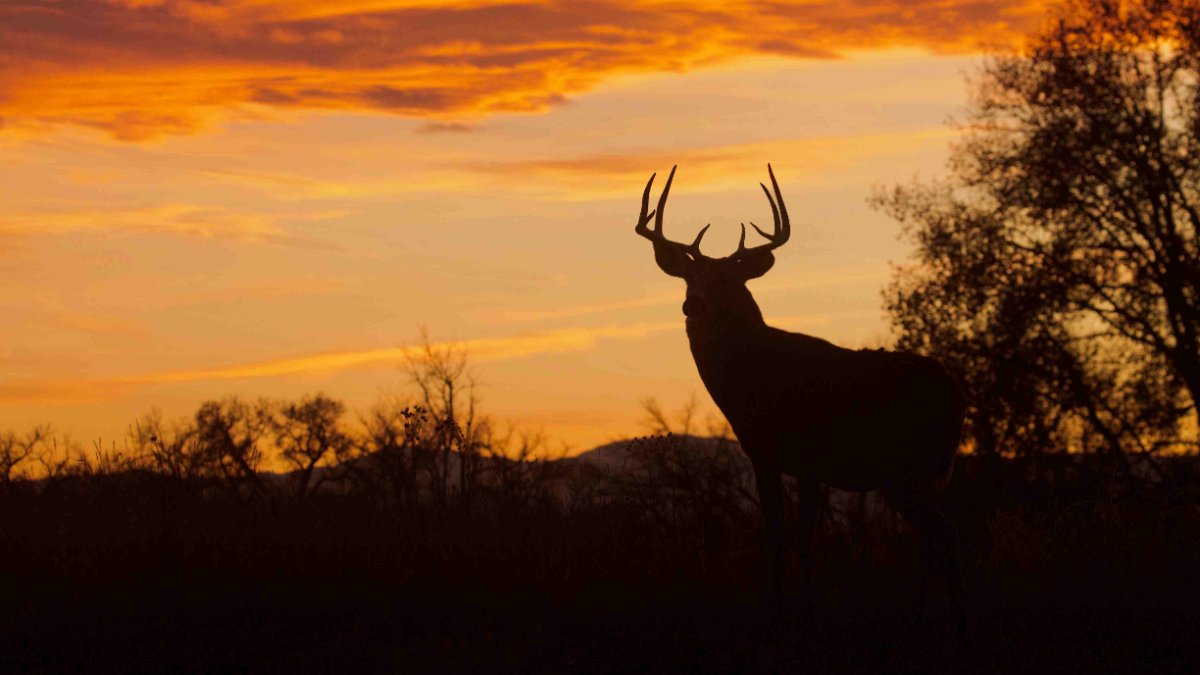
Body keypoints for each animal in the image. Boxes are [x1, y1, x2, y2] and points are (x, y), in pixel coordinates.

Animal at [632, 164, 966, 635]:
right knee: (934, 536)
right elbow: (793, 535)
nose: (692, 305)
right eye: (688, 277)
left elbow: (790, 536)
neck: (752, 380)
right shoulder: (791, 461)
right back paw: (925, 621)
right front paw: (799, 614)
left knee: (945, 535)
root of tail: (954, 392)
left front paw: (788, 618)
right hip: (915, 473)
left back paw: (951, 624)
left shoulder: (786, 454)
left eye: (727, 279)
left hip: (910, 466)